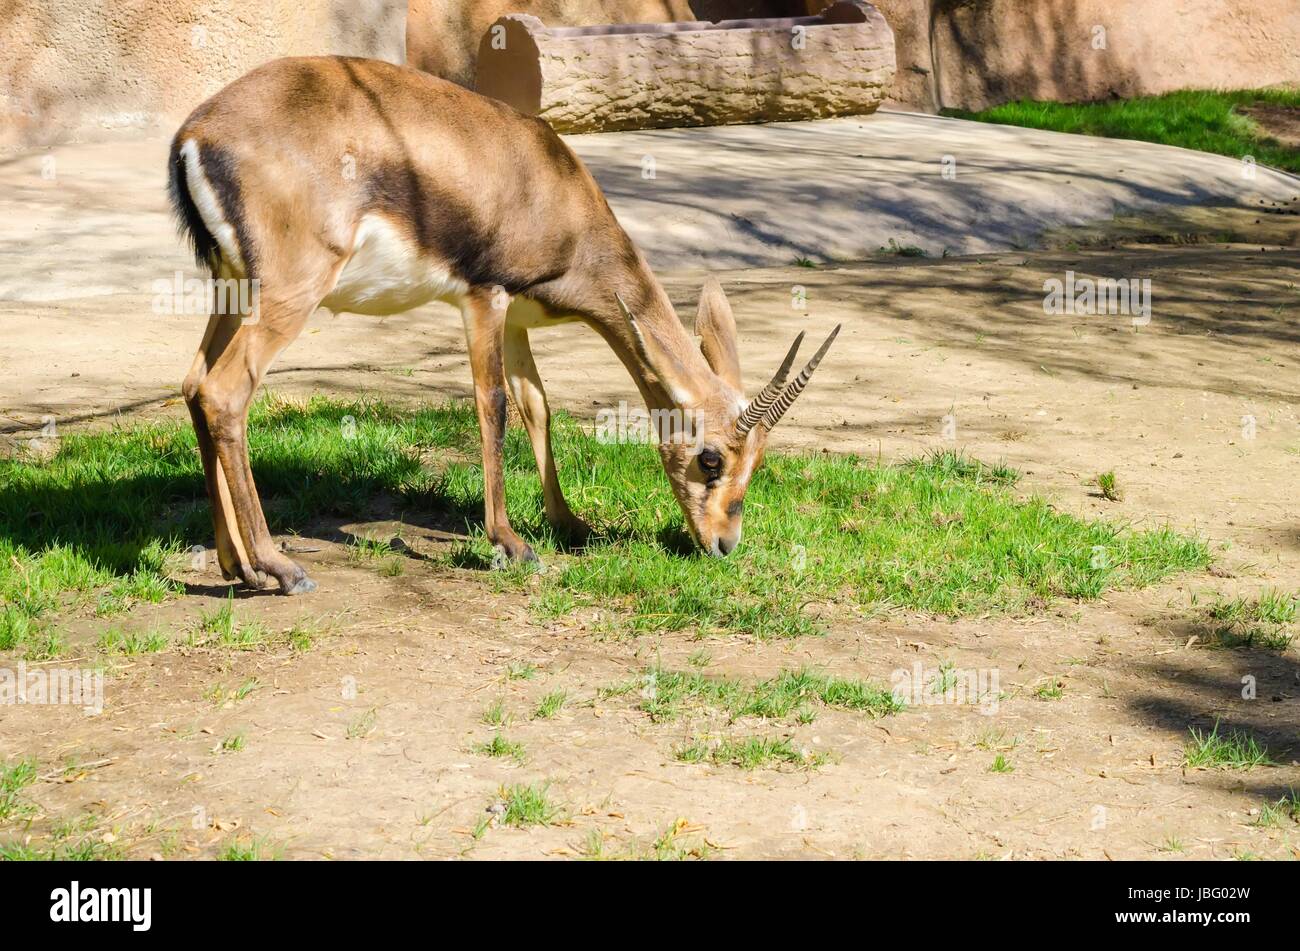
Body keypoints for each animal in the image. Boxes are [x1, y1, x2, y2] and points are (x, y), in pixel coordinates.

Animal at [169, 56, 839, 595]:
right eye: (710, 459)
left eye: (757, 461)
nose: (723, 543)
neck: (553, 187)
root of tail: (195, 133)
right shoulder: (483, 298)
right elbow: (491, 406)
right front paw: (511, 543)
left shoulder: (517, 320)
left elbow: (537, 406)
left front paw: (570, 524)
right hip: (289, 294)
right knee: (226, 391)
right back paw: (280, 569)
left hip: (232, 291)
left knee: (194, 386)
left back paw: (234, 565)